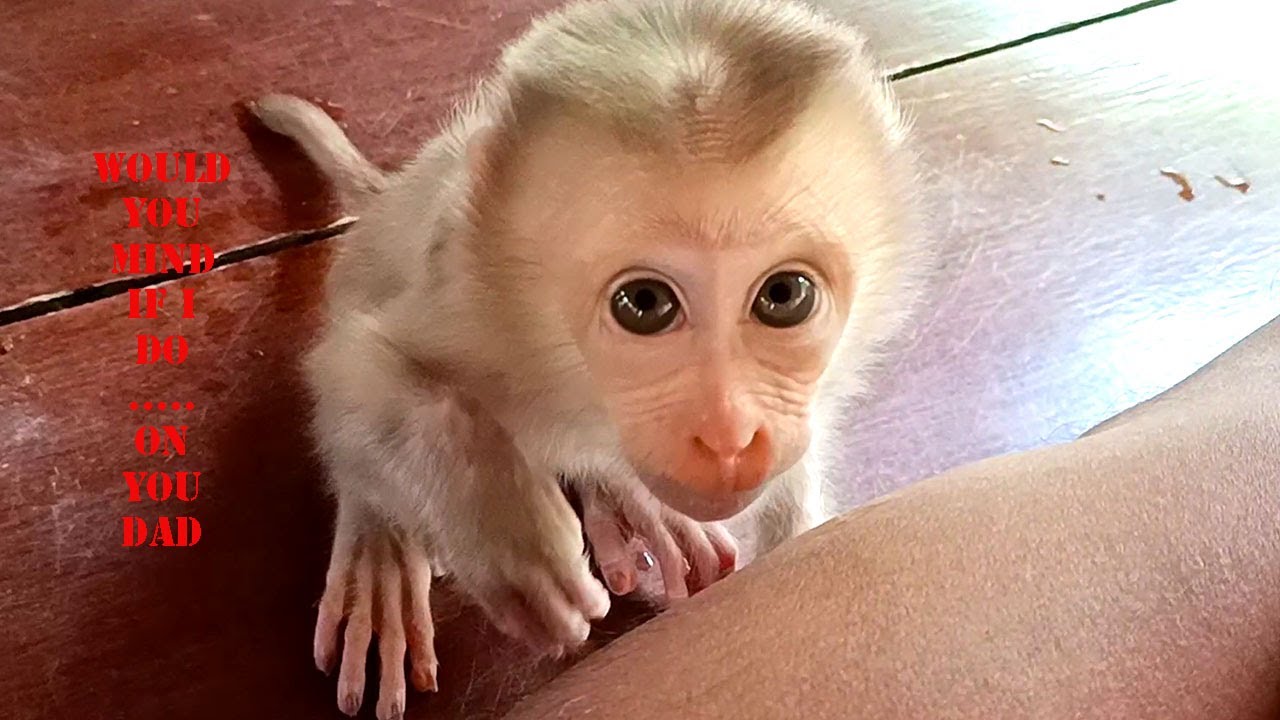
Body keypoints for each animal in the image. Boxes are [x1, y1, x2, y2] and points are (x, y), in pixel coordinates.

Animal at [252, 0, 931, 717]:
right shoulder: (476, 309)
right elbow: (356, 369)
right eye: (644, 304)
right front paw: (506, 532)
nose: (727, 436)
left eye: (784, 296)